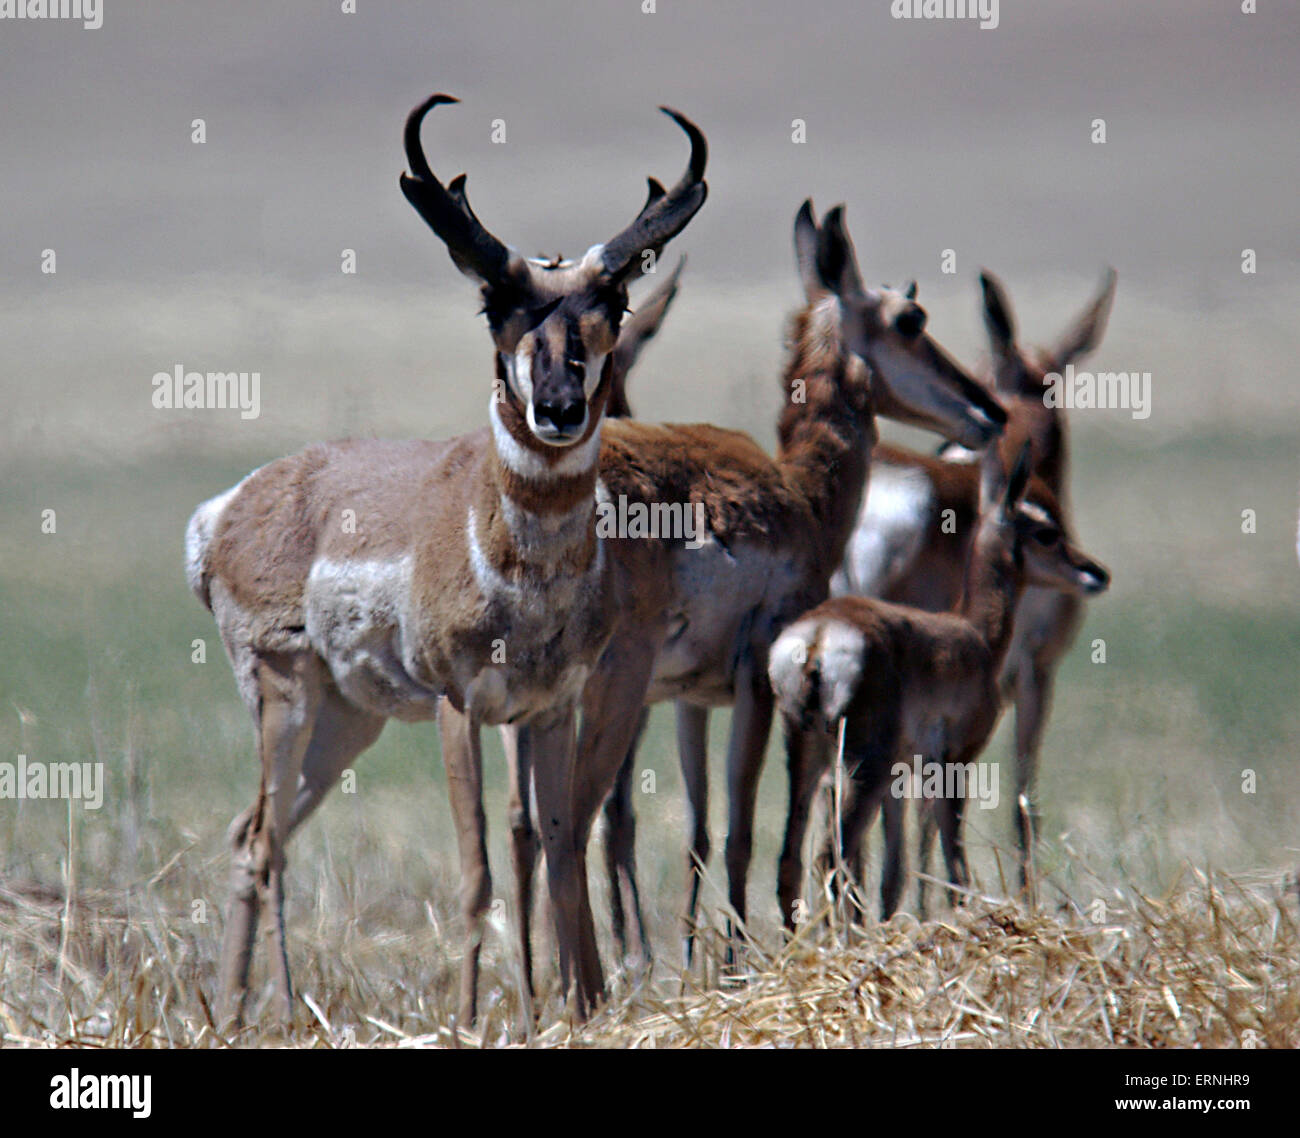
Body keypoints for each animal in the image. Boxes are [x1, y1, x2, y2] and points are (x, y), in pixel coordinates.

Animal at [184, 92, 707, 1028]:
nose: (559, 407)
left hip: (345, 723)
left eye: (613, 302)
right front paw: (471, 1018)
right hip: (284, 697)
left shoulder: (550, 709)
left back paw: (239, 1013)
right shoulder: (457, 707)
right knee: (267, 845)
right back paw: (282, 1008)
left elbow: (562, 849)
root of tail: (232, 507)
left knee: (251, 837)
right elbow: (476, 873)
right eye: (495, 303)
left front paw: (579, 1008)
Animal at [499, 202, 1007, 1001]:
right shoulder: (754, 689)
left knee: (525, 827)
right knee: (568, 824)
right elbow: (747, 836)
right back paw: (586, 991)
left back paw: (534, 994)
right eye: (910, 318)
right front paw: (736, 970)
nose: (988, 409)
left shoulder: (689, 700)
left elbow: (701, 832)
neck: (798, 492)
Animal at [769, 442, 1110, 921]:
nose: (1095, 572)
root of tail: (819, 637)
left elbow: (896, 869)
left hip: (808, 758)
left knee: (792, 862)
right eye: (1046, 533)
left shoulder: (901, 778)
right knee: (831, 860)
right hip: (861, 771)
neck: (971, 633)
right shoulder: (954, 763)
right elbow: (953, 856)